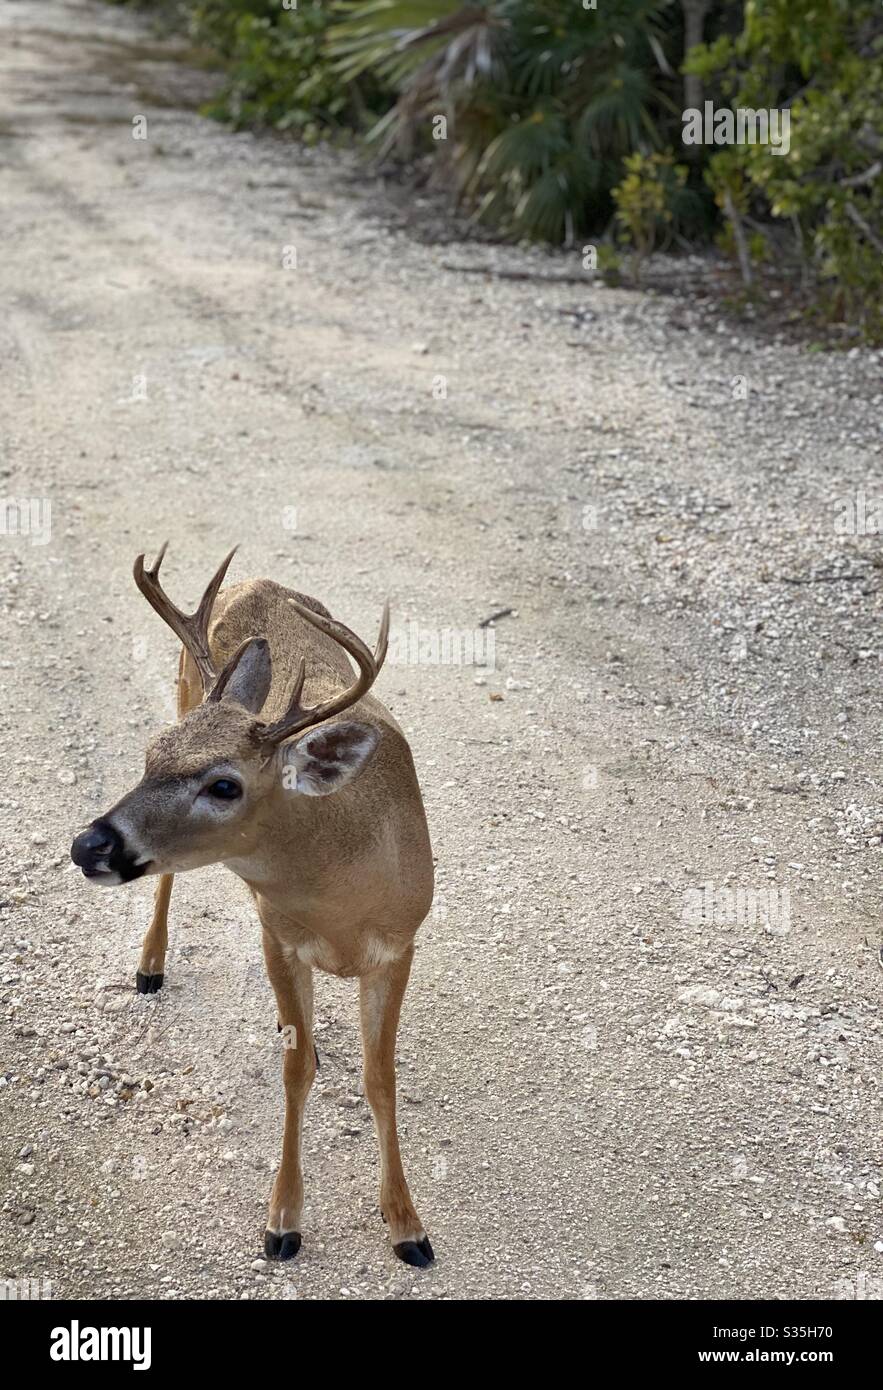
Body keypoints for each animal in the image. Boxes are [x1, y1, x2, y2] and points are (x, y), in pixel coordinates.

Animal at [70, 546, 435, 1268]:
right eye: (150, 754)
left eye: (223, 786)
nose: (87, 845)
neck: (342, 897)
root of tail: (257, 580)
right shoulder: (279, 936)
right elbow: (296, 1073)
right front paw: (283, 1223)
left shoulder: (400, 943)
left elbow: (379, 1078)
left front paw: (407, 1227)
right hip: (181, 688)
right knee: (167, 881)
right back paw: (149, 965)